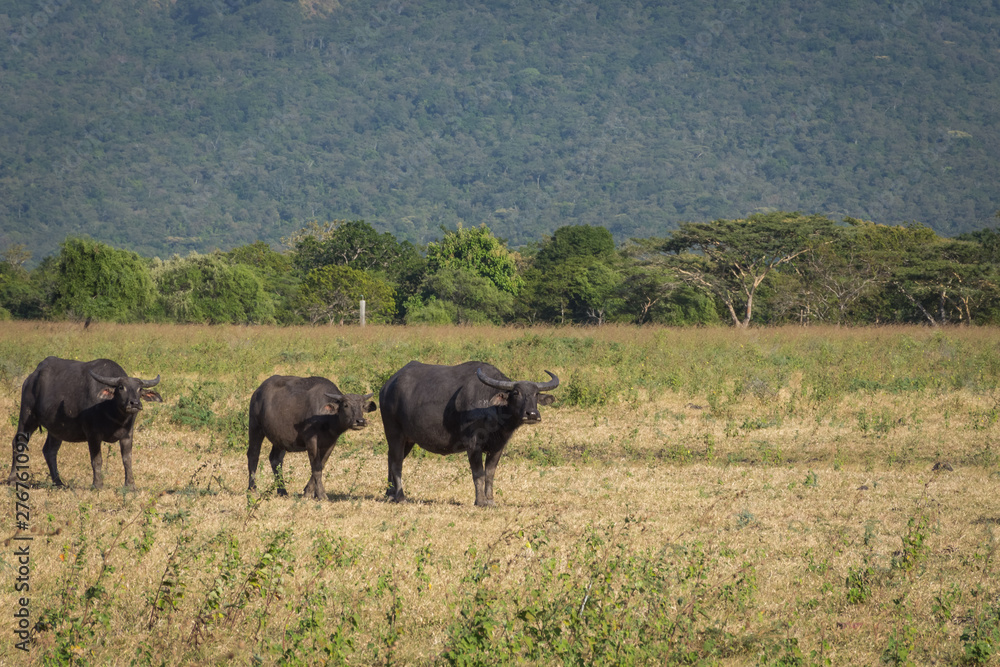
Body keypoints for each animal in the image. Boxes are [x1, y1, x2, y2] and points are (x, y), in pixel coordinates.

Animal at [7, 357, 162, 489]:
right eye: (121, 387)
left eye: (139, 389)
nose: (134, 403)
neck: (114, 414)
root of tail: (31, 377)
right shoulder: (93, 435)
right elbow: (97, 460)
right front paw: (98, 485)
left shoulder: (127, 435)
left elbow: (127, 460)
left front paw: (130, 485)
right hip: (27, 416)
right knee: (19, 442)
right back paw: (12, 480)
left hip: (56, 429)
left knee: (50, 450)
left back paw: (58, 482)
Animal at [247, 375, 376, 500]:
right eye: (345, 405)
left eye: (362, 406)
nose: (360, 421)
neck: (326, 418)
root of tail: (257, 391)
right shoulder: (311, 441)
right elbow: (316, 467)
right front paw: (321, 494)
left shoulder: (331, 442)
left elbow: (321, 465)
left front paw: (308, 491)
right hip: (255, 427)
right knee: (253, 455)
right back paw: (252, 490)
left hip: (279, 438)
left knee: (275, 459)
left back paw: (282, 491)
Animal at [379, 361, 559, 507]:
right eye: (516, 393)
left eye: (536, 394)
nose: (532, 414)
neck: (492, 409)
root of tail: (387, 386)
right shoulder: (473, 444)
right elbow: (478, 473)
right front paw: (480, 501)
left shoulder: (498, 447)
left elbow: (490, 473)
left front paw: (490, 500)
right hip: (394, 432)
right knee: (397, 463)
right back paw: (401, 497)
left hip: (408, 439)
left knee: (391, 458)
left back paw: (389, 494)